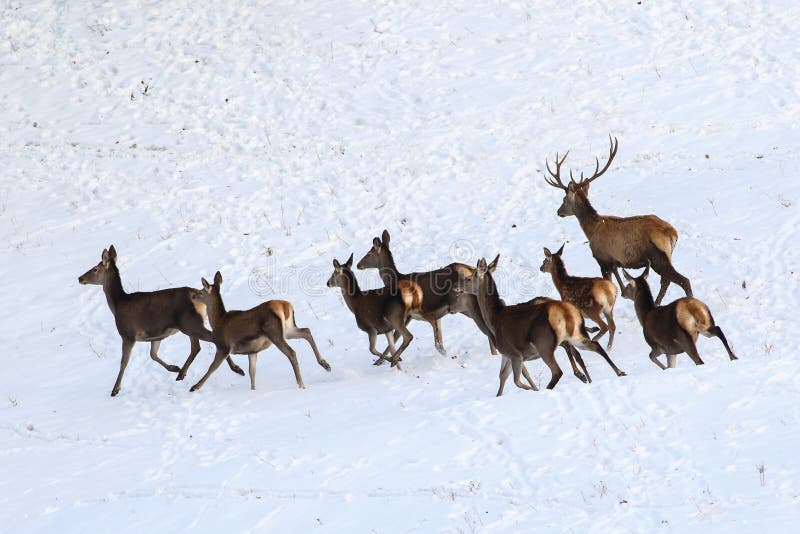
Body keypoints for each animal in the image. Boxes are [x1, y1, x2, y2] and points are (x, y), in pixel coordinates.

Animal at [78, 245, 245, 396]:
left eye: (95, 269)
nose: (80, 278)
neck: (118, 305)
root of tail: (199, 299)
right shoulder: (155, 335)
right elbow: (153, 355)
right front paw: (173, 367)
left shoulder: (127, 334)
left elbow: (124, 362)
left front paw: (115, 389)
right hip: (190, 324)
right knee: (196, 347)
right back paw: (181, 373)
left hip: (189, 323)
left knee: (210, 341)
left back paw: (236, 369)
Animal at [188, 271, 330, 392]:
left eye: (201, 292)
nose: (193, 296)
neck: (218, 321)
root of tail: (286, 306)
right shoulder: (252, 351)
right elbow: (252, 372)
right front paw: (253, 390)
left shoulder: (224, 346)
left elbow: (212, 368)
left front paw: (194, 387)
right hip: (288, 329)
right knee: (306, 331)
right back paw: (325, 364)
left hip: (274, 332)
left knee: (292, 352)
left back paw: (301, 384)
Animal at [356, 229, 498, 356]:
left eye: (368, 254)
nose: (358, 265)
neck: (396, 278)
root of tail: (472, 269)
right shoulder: (434, 315)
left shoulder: (408, 315)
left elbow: (396, 338)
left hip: (467, 304)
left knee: (487, 329)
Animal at [455, 256, 626, 396]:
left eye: (470, 278)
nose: (457, 287)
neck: (494, 320)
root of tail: (566, 312)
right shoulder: (507, 354)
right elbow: (502, 376)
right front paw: (499, 395)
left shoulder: (514, 353)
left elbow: (517, 381)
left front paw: (534, 389)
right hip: (575, 335)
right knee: (594, 346)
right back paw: (617, 372)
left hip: (544, 344)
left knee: (558, 371)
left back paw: (550, 388)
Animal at [543, 136, 692, 305]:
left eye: (564, 199)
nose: (558, 212)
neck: (592, 230)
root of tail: (673, 233)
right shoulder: (615, 262)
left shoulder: (603, 259)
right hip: (665, 257)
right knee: (666, 281)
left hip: (658, 256)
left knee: (683, 280)